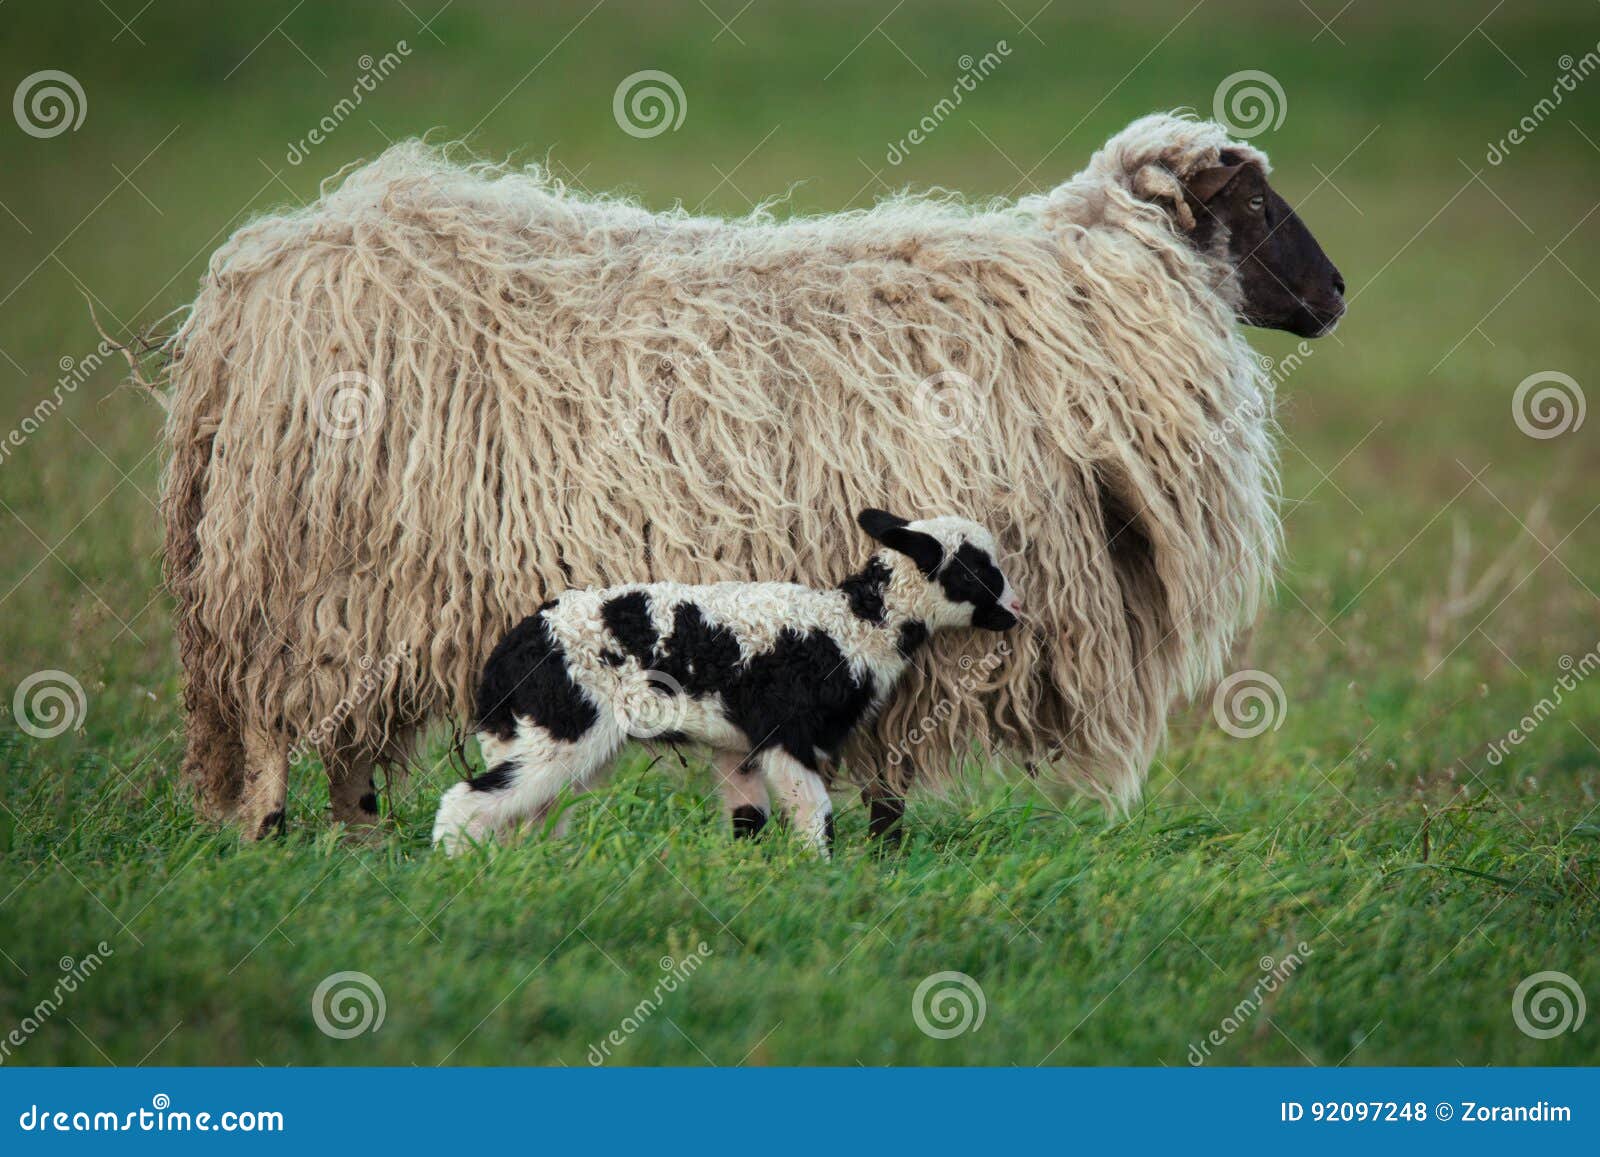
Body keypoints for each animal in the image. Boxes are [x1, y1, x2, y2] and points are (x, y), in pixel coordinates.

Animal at [432, 509, 1021, 855]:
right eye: (975, 570)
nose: (1016, 612)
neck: (854, 625)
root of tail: (507, 658)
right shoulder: (785, 729)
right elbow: (815, 814)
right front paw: (821, 878)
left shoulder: (738, 745)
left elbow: (748, 818)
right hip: (564, 724)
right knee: (471, 801)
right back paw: (454, 870)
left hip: (547, 737)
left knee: (535, 814)